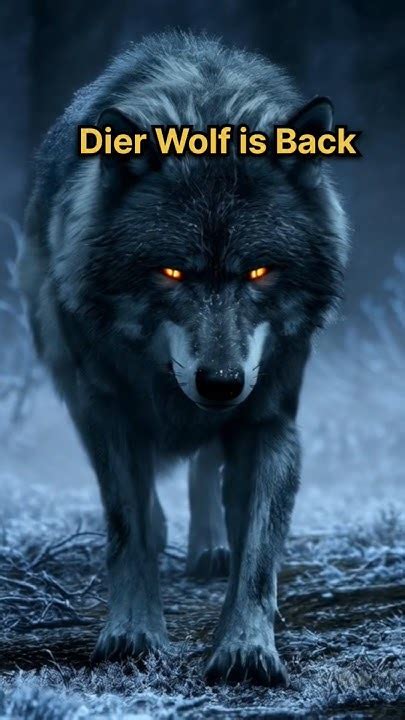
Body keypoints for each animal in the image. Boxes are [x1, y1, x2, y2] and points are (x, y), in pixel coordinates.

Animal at [19, 31, 348, 685]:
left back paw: (210, 547)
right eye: (171, 273)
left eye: (259, 272)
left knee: (205, 471)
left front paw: (245, 647)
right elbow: (128, 527)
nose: (220, 382)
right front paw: (133, 633)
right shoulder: (110, 411)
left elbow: (259, 553)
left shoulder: (269, 418)